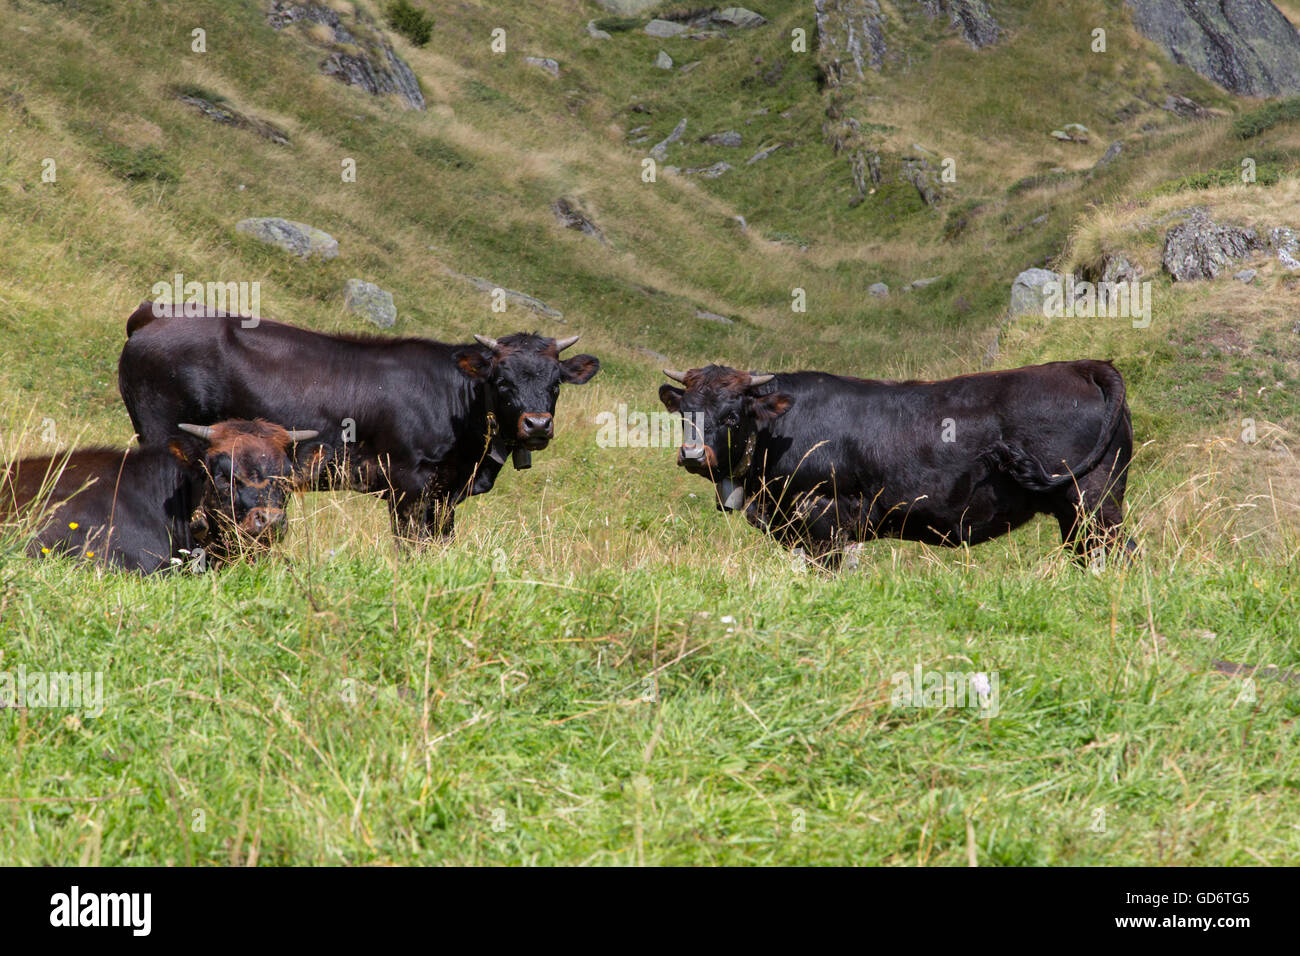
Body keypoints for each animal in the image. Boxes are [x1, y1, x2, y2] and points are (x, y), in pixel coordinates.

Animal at [117, 302, 600, 542]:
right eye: (501, 381)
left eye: (556, 382)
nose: (536, 425)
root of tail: (152, 314)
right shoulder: (409, 484)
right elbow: (412, 545)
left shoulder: (445, 494)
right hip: (162, 433)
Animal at [658, 360, 1134, 567]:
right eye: (686, 412)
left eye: (731, 416)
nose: (692, 455)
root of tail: (1081, 365)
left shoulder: (824, 518)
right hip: (1074, 511)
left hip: (1094, 500)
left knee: (1120, 550)